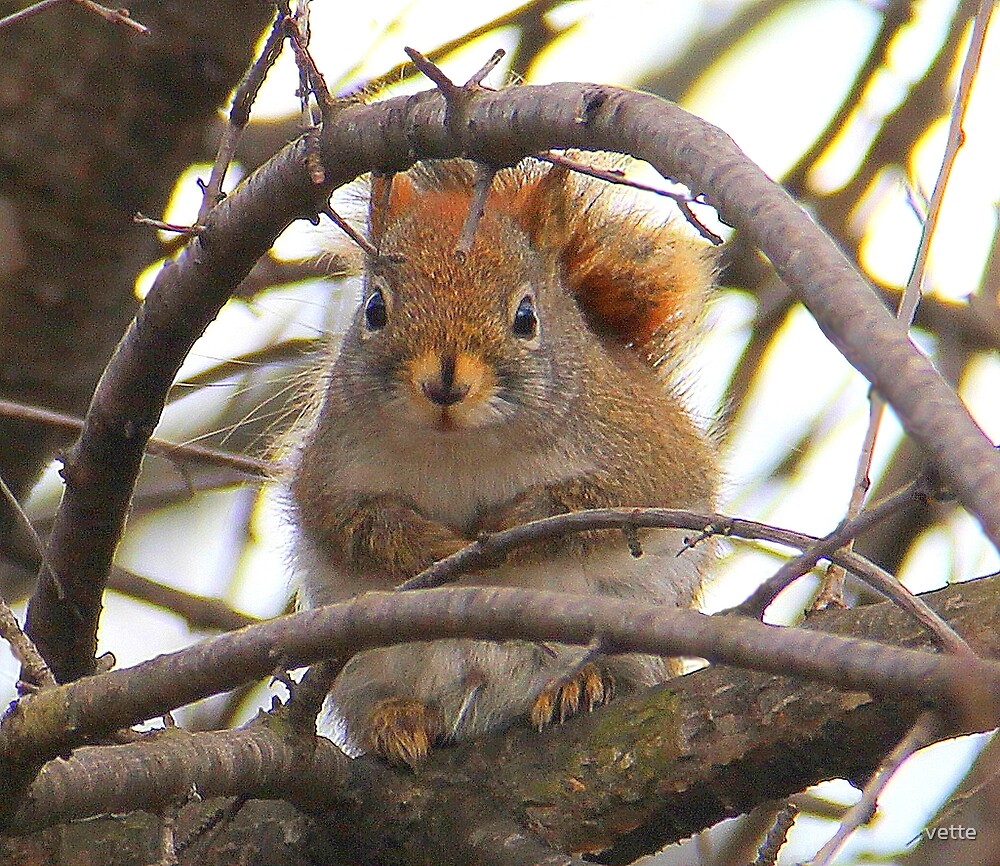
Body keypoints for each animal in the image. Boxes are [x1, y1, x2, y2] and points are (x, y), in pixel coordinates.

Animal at [289, 155, 719, 767]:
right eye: (374, 309)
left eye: (526, 316)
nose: (444, 383)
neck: (461, 447)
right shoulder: (329, 472)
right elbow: (351, 524)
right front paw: (435, 545)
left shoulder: (647, 456)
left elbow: (602, 505)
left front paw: (511, 523)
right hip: (367, 670)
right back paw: (398, 719)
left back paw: (580, 687)